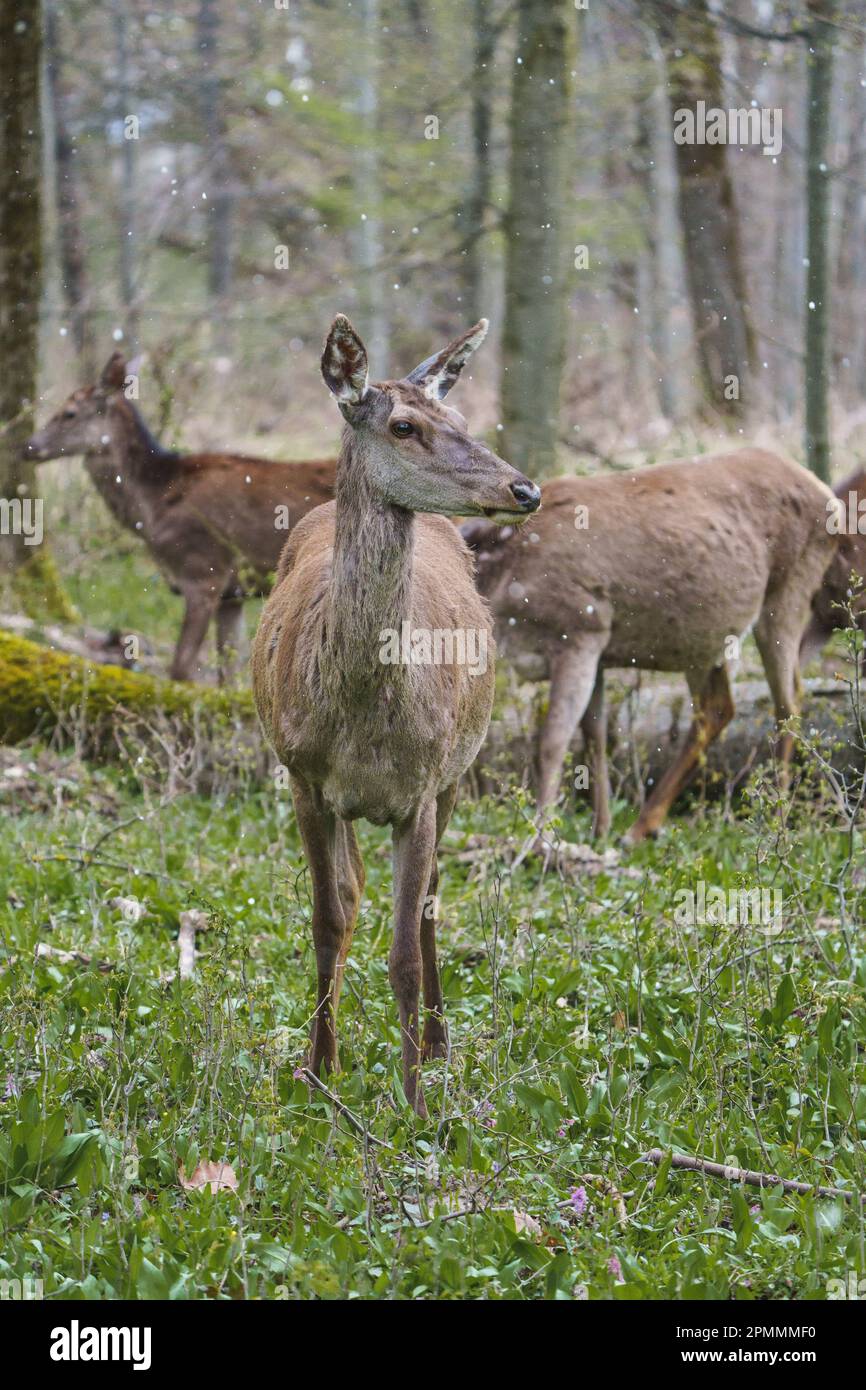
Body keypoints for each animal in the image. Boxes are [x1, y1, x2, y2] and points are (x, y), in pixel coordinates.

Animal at [25, 352, 336, 682]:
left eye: (69, 413)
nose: (28, 447)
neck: (154, 505)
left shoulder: (203, 572)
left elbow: (181, 668)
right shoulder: (232, 594)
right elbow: (229, 673)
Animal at [251, 314, 540, 1117]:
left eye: (461, 418)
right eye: (404, 426)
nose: (525, 488)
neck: (362, 718)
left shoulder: (422, 790)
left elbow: (407, 948)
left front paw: (414, 1101)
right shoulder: (304, 777)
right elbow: (328, 920)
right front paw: (318, 1069)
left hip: (459, 773)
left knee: (435, 901)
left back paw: (439, 1045)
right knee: (354, 890)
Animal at [463, 448, 840, 845]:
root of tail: (828, 495)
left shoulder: (581, 627)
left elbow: (552, 741)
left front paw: (542, 837)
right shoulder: (598, 651)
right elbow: (595, 738)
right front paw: (600, 830)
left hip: (788, 592)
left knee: (789, 701)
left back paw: (776, 822)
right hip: (704, 640)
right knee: (717, 707)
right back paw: (642, 826)